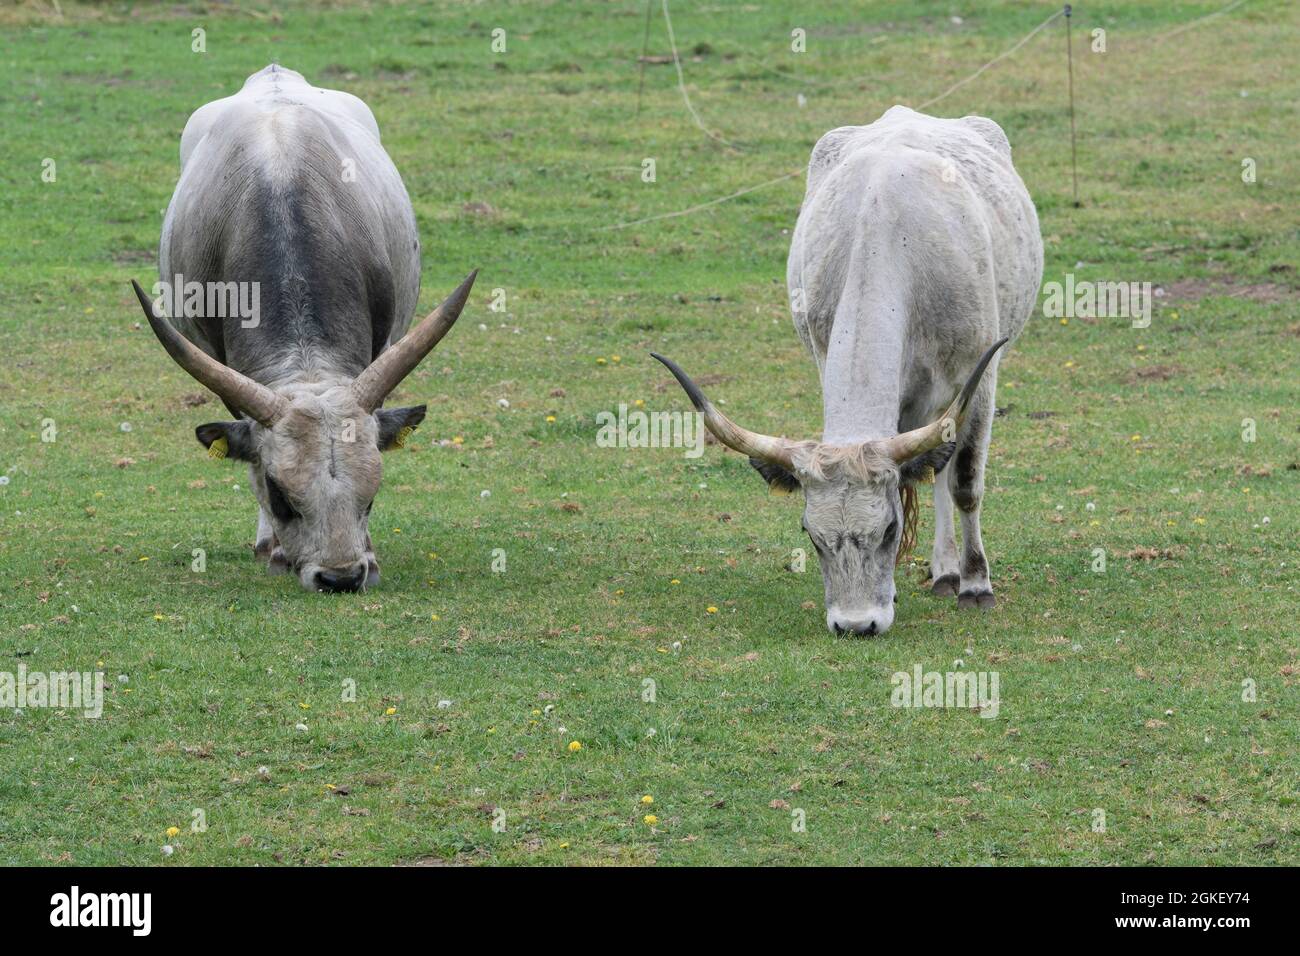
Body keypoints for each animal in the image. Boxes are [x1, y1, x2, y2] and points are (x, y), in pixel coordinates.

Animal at [654, 106, 1043, 635]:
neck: (891, 239)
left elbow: (964, 482)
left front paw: (977, 585)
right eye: (810, 534)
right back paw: (942, 571)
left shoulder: (979, 378)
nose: (856, 626)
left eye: (889, 528)